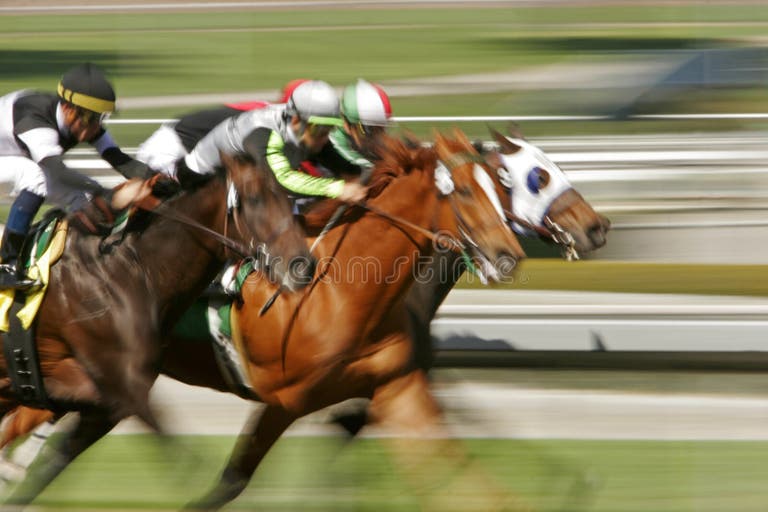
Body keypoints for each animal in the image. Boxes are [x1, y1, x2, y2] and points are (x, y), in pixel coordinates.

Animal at [0, 152, 313, 506]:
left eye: (286, 196)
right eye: (256, 198)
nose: (302, 266)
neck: (127, 270)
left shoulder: (100, 403)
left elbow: (51, 464)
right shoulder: (123, 388)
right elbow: (187, 463)